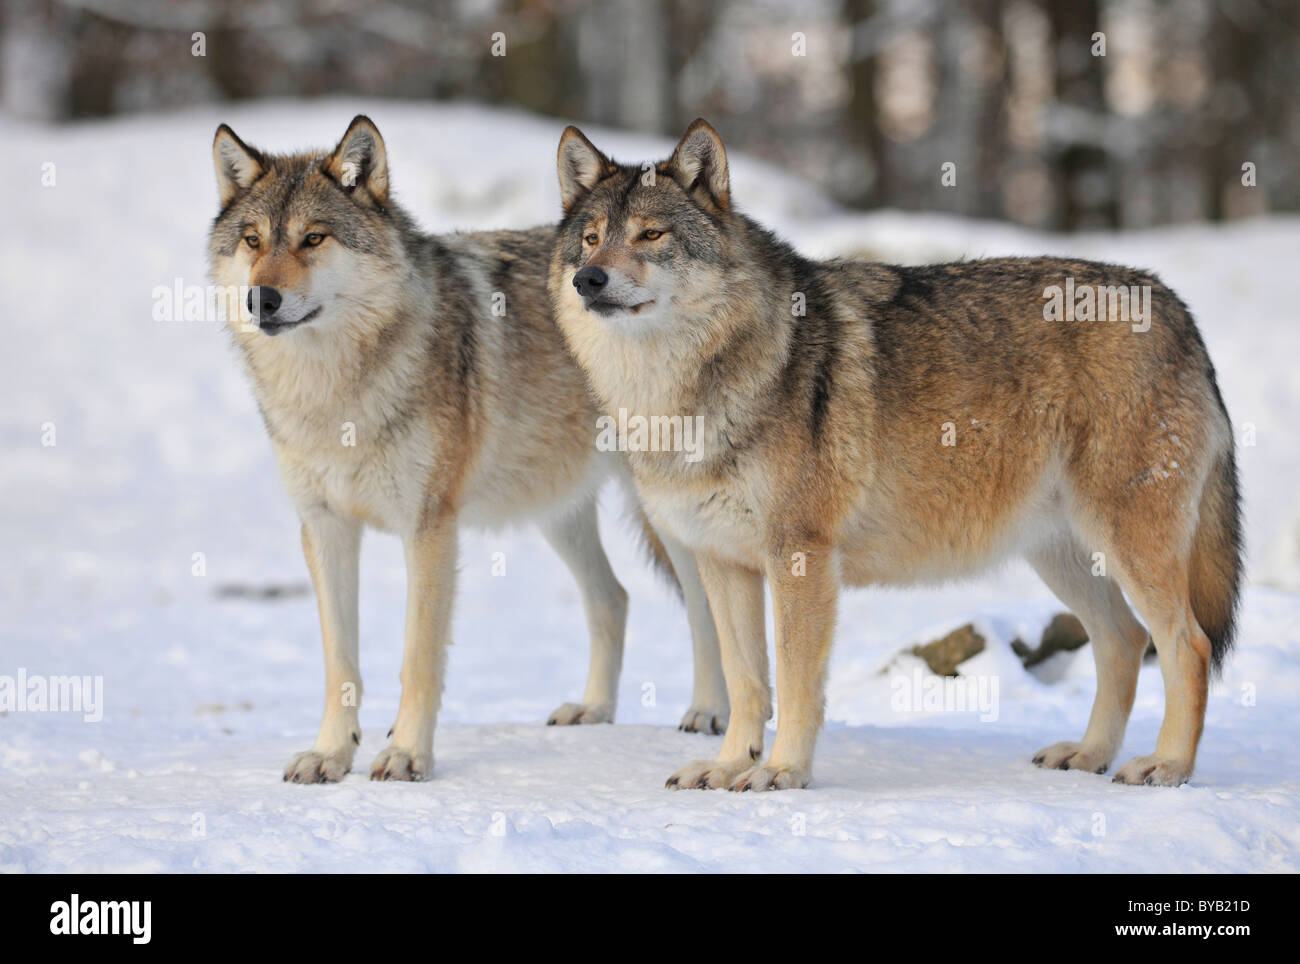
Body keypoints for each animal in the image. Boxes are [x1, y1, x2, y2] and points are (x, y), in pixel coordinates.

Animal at [208, 116, 728, 782]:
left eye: (313, 238)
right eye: (253, 240)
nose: (262, 299)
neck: (334, 395)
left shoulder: (429, 528)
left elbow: (418, 659)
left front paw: (405, 754)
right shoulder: (324, 528)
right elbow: (340, 665)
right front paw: (330, 755)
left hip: (666, 515)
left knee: (701, 606)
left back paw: (710, 713)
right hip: (556, 510)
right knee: (612, 598)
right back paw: (592, 710)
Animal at [549, 119, 1242, 791]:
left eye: (651, 234)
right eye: (590, 239)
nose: (589, 279)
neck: (676, 393)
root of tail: (1175, 306)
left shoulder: (799, 556)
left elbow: (794, 682)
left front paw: (781, 771)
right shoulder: (723, 562)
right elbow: (745, 682)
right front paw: (725, 767)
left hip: (1126, 543)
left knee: (1186, 645)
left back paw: (1167, 767)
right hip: (1062, 554)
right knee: (1123, 640)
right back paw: (1089, 754)